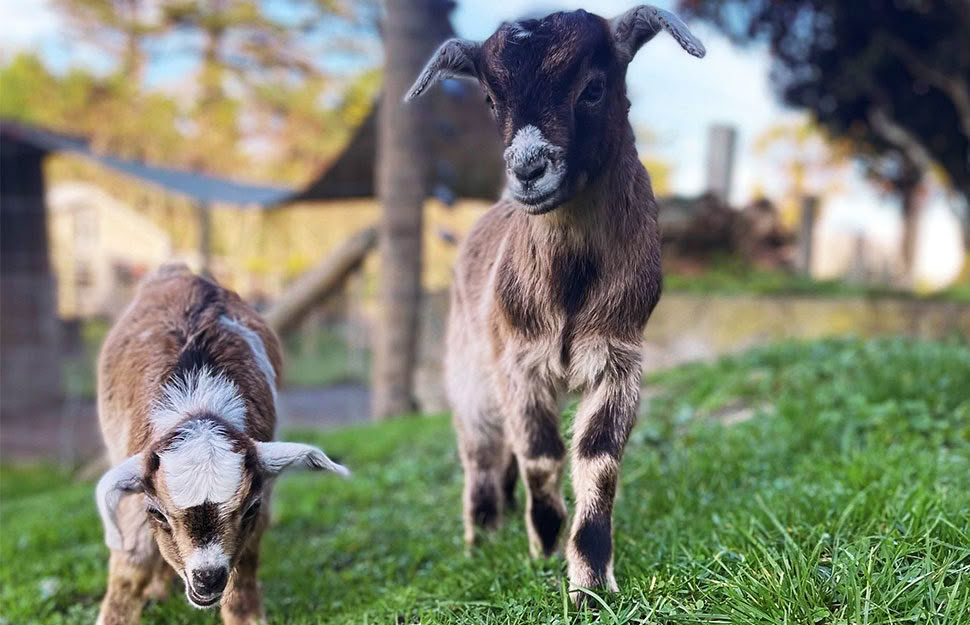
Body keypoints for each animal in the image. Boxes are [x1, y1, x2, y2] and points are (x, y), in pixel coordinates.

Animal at [94, 264, 347, 625]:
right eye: (157, 513)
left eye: (250, 507)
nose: (207, 578)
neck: (197, 394)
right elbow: (132, 559)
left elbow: (247, 561)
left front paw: (247, 617)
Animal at [406, 6, 704, 599]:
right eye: (489, 99)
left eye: (593, 87)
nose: (526, 169)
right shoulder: (516, 361)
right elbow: (540, 455)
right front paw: (543, 546)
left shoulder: (618, 357)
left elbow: (598, 458)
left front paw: (589, 581)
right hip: (467, 369)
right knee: (481, 449)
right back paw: (481, 538)